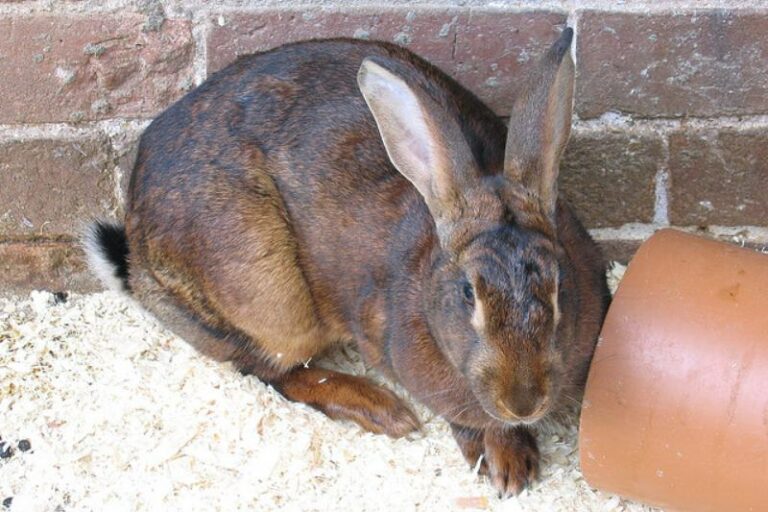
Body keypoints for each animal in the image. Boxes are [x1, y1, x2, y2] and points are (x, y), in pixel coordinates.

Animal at [84, 27, 610, 496]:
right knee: (269, 370)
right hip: (271, 298)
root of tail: (138, 259)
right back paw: (380, 408)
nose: (523, 402)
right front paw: (504, 463)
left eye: (559, 285)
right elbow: (461, 418)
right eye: (468, 293)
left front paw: (513, 460)